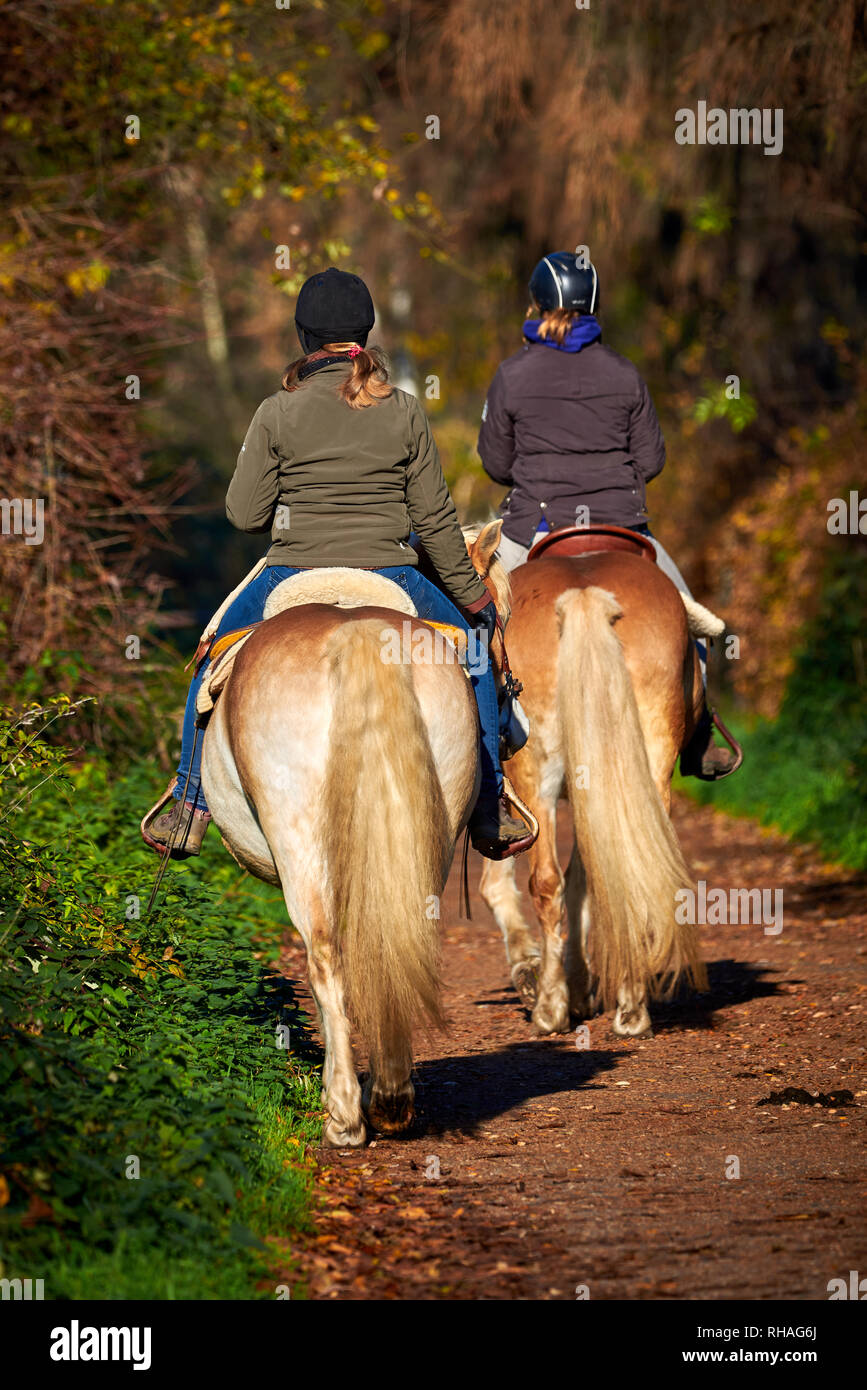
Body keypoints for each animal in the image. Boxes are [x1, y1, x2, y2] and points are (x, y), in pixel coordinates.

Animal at [479, 544, 708, 1038]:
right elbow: (587, 880)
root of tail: (584, 594)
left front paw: (542, 979)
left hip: (540, 782)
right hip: (642, 773)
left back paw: (550, 1008)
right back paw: (632, 1009)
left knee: (547, 884)